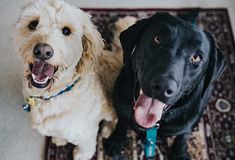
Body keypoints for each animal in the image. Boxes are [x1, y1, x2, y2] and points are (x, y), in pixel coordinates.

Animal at [13, 0, 136, 159]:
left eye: (66, 31)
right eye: (33, 24)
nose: (43, 51)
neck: (54, 95)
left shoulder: (86, 133)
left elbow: (86, 147)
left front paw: (80, 155)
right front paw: (59, 139)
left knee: (115, 119)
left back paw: (107, 130)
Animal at [104, 12, 226, 160]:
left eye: (196, 57)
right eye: (157, 39)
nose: (162, 87)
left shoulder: (187, 123)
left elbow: (182, 136)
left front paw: (179, 154)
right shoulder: (120, 105)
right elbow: (121, 123)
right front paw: (116, 141)